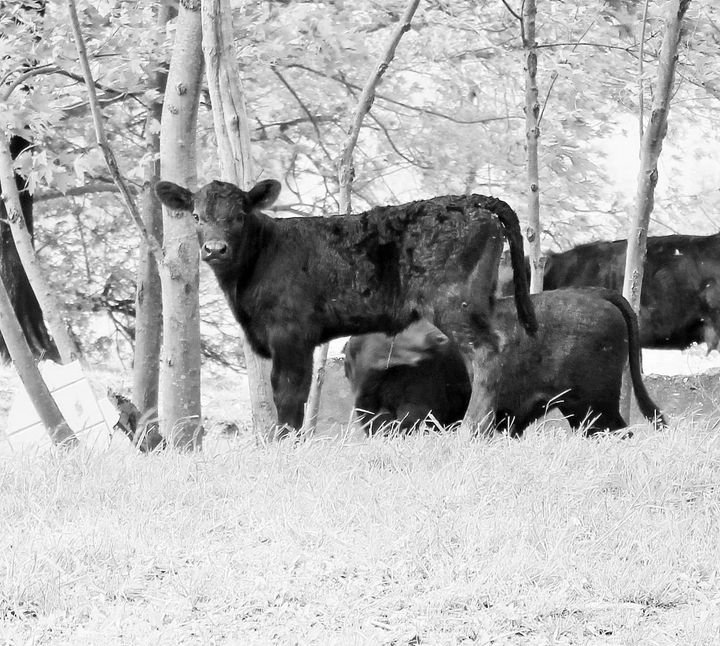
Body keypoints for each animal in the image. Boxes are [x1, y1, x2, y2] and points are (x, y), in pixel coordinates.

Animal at [155, 178, 537, 435]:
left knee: (486, 352)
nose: (215, 249)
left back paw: (472, 430)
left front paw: (284, 443)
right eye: (196, 216)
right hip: (476, 304)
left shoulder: (290, 335)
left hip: (454, 303)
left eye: (239, 216)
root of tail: (471, 201)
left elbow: (289, 392)